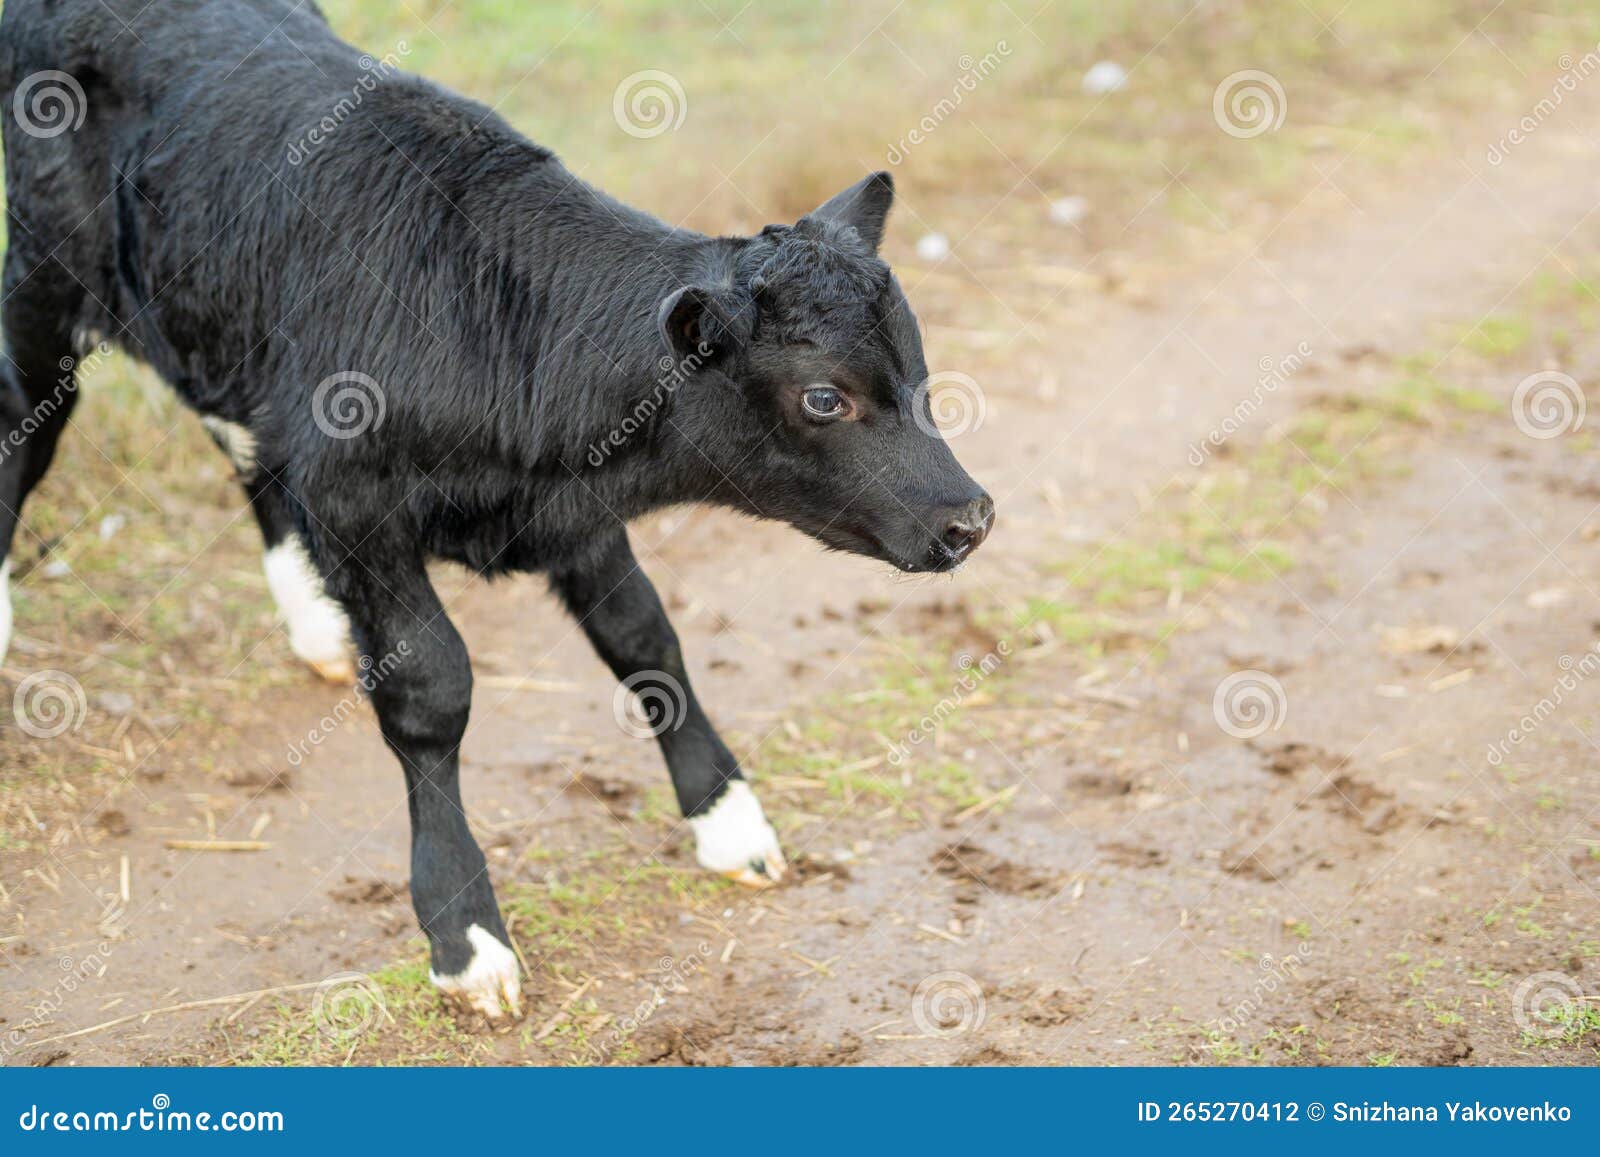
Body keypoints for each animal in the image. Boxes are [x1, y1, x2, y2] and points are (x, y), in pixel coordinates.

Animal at [0, 0, 993, 1019]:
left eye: (918, 367)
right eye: (825, 397)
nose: (970, 516)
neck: (487, 321)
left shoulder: (571, 503)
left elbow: (644, 635)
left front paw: (729, 819)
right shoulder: (354, 499)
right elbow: (432, 688)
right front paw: (465, 931)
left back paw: (314, 622)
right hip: (44, 283)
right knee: (24, 419)